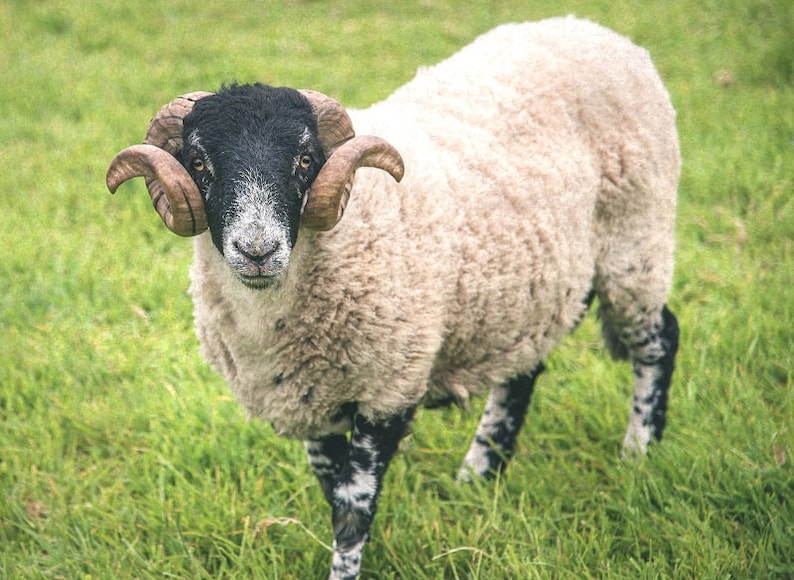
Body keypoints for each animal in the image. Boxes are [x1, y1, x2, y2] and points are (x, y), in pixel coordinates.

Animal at [106, 16, 680, 579]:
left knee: (660, 339)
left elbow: (353, 507)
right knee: (524, 369)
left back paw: (637, 452)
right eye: (199, 161)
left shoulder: (388, 390)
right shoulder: (310, 402)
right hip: (529, 289)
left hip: (636, 242)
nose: (257, 250)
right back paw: (479, 472)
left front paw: (345, 570)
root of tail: (599, 32)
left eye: (306, 159)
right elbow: (332, 495)